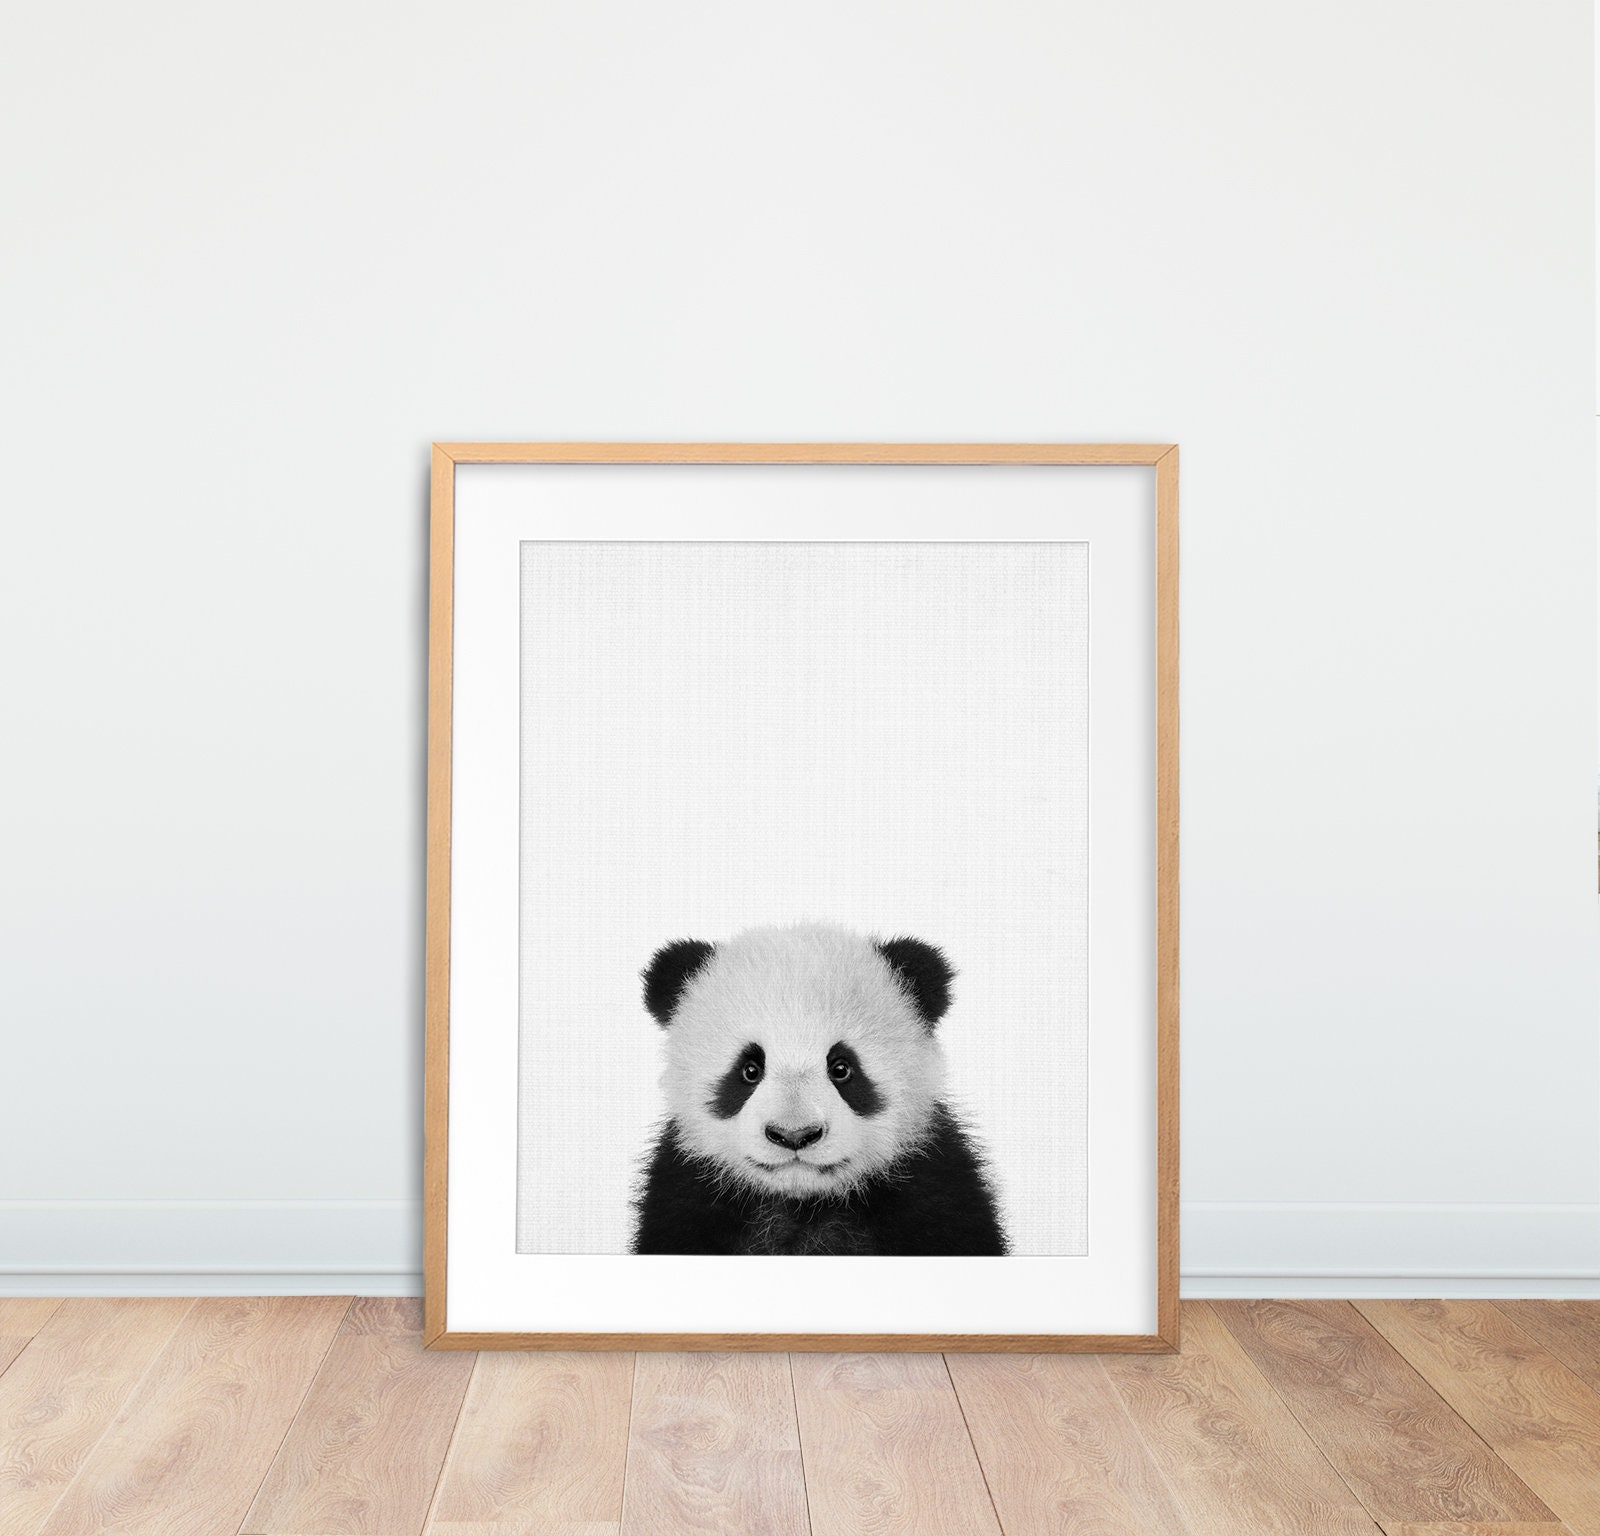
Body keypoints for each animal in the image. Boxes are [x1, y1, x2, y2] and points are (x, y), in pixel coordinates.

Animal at [630, 922, 1009, 1256]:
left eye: (842, 1068)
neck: (802, 1206)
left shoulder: (935, 1190)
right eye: (749, 1070)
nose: (794, 1135)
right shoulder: (684, 1198)